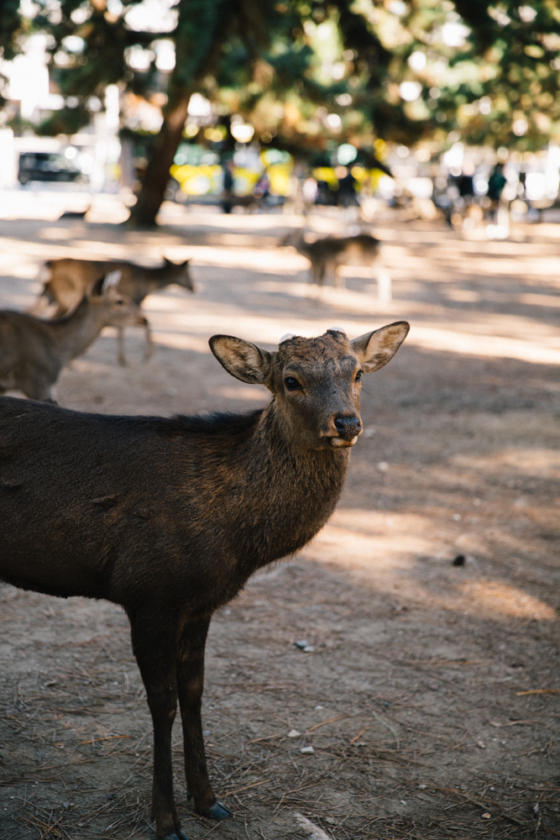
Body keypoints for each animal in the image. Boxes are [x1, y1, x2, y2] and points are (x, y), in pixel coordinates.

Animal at [0, 321, 409, 840]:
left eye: (356, 372)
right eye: (291, 380)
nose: (346, 423)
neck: (238, 544)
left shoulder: (201, 604)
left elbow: (194, 692)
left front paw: (209, 801)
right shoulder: (148, 594)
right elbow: (163, 703)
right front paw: (167, 821)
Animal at [32, 257, 194, 365]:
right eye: (187, 273)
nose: (194, 287)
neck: (149, 284)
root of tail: (46, 267)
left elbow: (122, 327)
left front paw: (122, 358)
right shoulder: (136, 299)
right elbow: (141, 325)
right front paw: (144, 356)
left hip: (47, 296)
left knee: (33, 311)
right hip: (65, 298)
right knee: (51, 318)